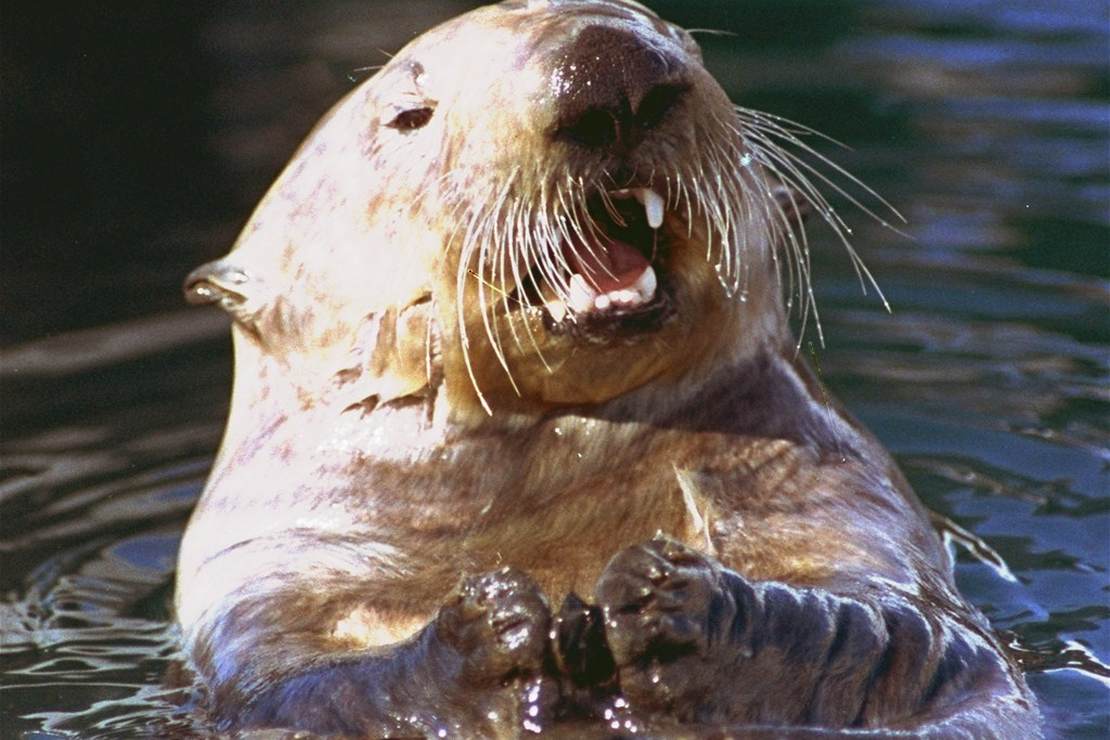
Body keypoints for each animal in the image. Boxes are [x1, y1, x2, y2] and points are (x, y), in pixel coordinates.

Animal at [177, 0, 1040, 735]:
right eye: (408, 115)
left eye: (681, 38)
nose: (612, 68)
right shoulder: (265, 573)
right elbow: (310, 689)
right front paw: (495, 635)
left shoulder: (842, 495)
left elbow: (896, 636)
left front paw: (671, 608)